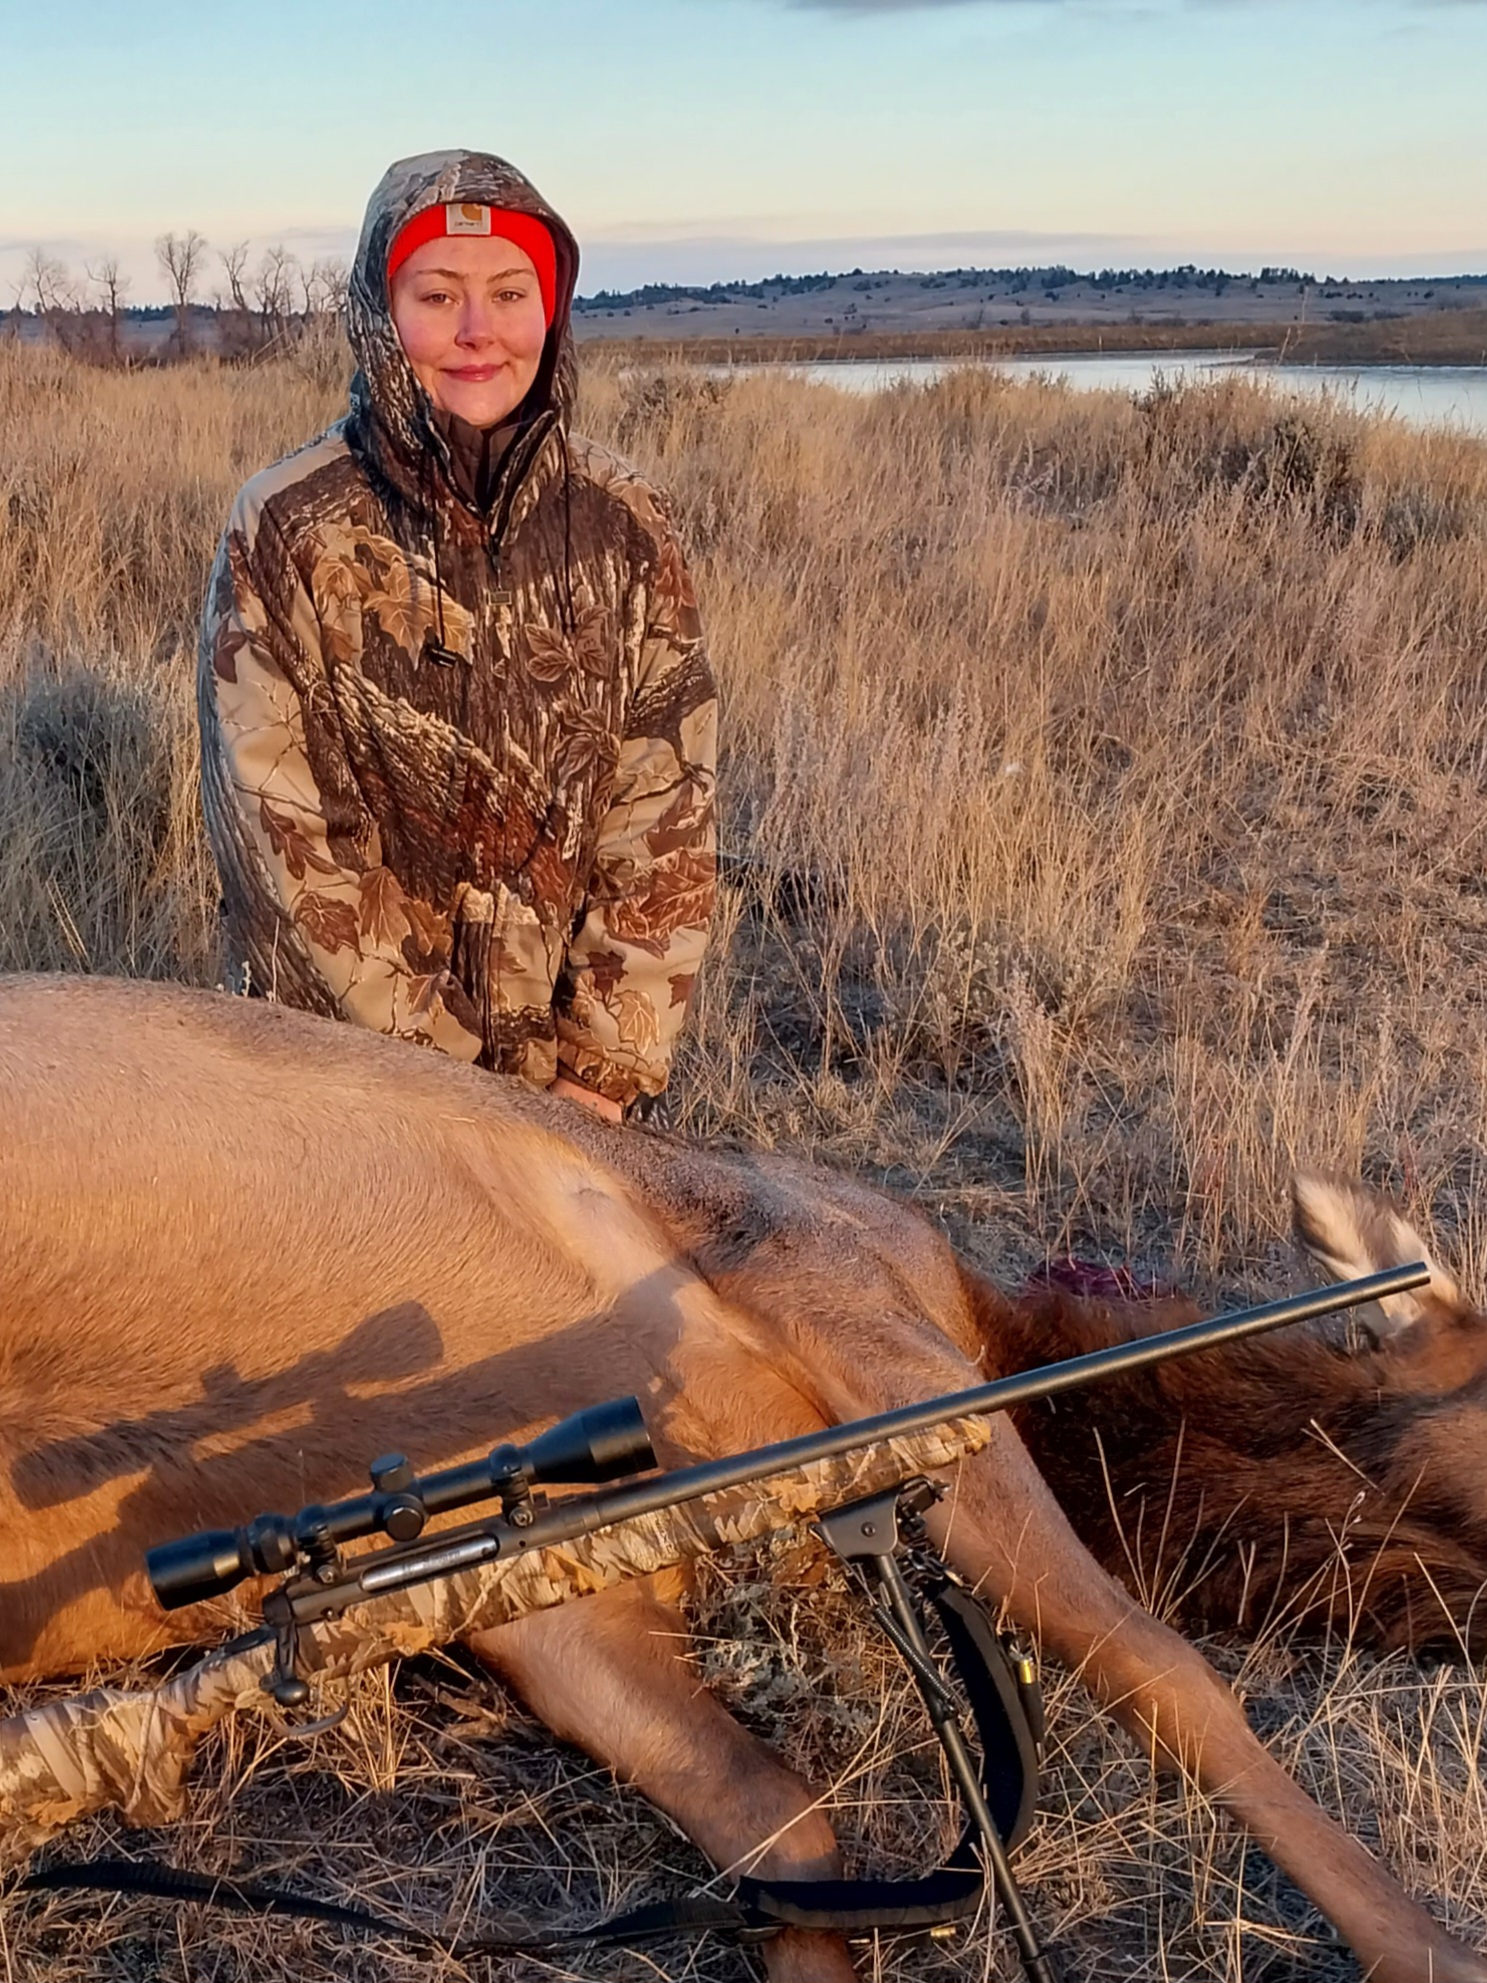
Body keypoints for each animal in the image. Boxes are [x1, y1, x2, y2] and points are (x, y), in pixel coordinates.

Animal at [0, 971, 1482, 1983]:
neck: (1004, 1328)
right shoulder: (867, 1332)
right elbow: (1165, 1673)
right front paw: (1431, 1949)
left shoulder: (556, 1605)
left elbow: (783, 1831)